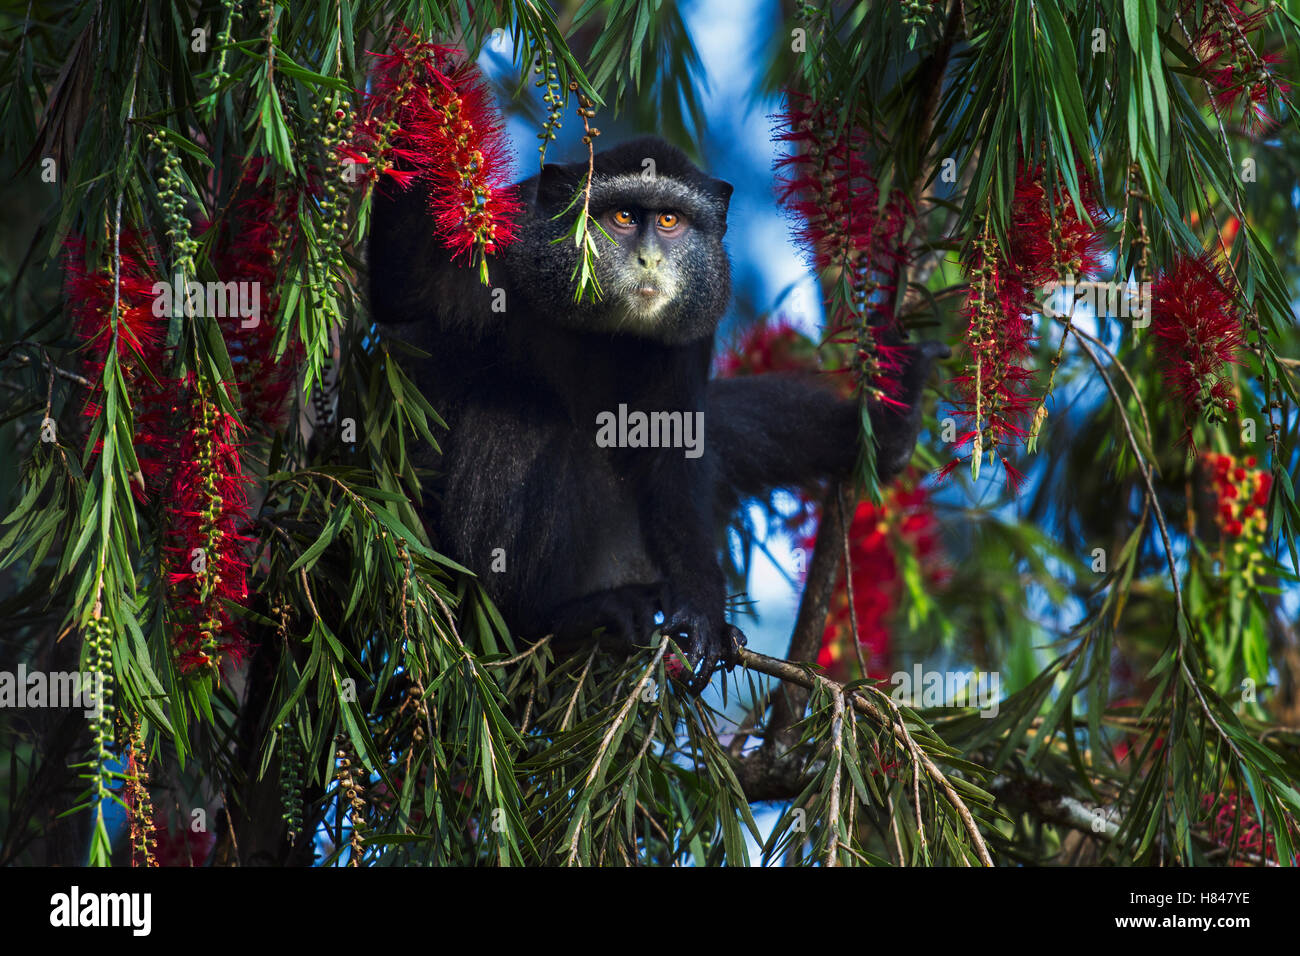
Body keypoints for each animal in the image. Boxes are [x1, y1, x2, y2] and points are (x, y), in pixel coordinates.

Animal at [368, 136, 946, 690]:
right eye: (624, 216)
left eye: (669, 221)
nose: (650, 260)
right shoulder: (497, 249)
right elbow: (398, 296)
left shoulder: (691, 333)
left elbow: (677, 454)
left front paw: (705, 615)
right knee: (519, 412)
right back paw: (554, 618)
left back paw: (890, 432)